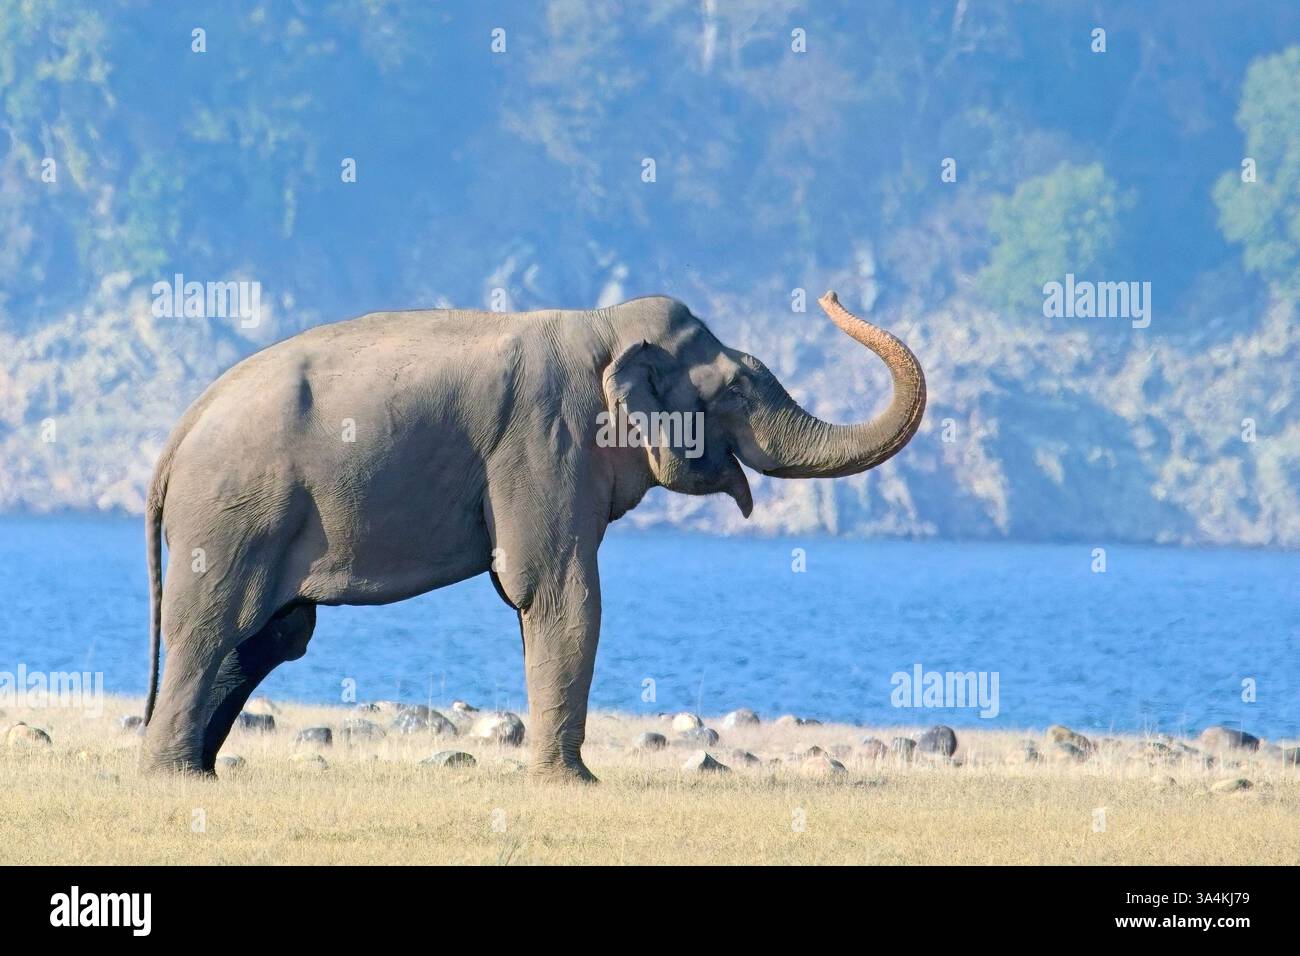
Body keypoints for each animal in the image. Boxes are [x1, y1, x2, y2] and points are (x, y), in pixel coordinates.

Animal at [141, 290, 925, 780]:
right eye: (732, 391)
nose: (829, 293)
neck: (603, 326)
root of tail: (176, 436)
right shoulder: (545, 441)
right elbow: (557, 590)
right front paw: (573, 783)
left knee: (271, 634)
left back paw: (198, 771)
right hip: (235, 513)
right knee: (212, 626)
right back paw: (171, 775)